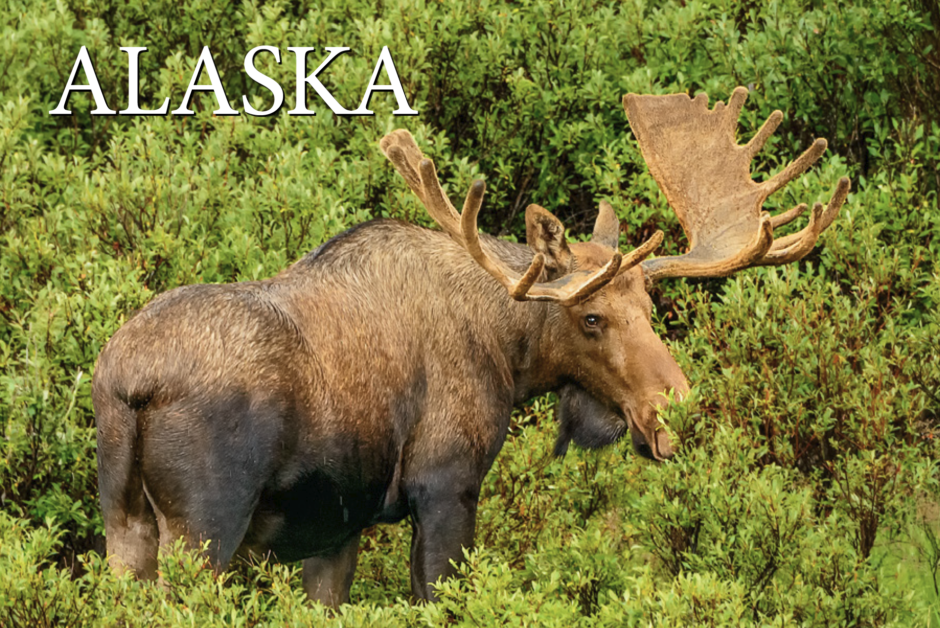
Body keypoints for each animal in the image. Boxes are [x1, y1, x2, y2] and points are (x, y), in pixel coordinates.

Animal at [92, 86, 850, 606]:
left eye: (651, 307)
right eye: (591, 318)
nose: (673, 410)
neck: (510, 356)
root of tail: (129, 384)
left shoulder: (340, 526)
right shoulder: (447, 485)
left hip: (124, 525)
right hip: (203, 528)